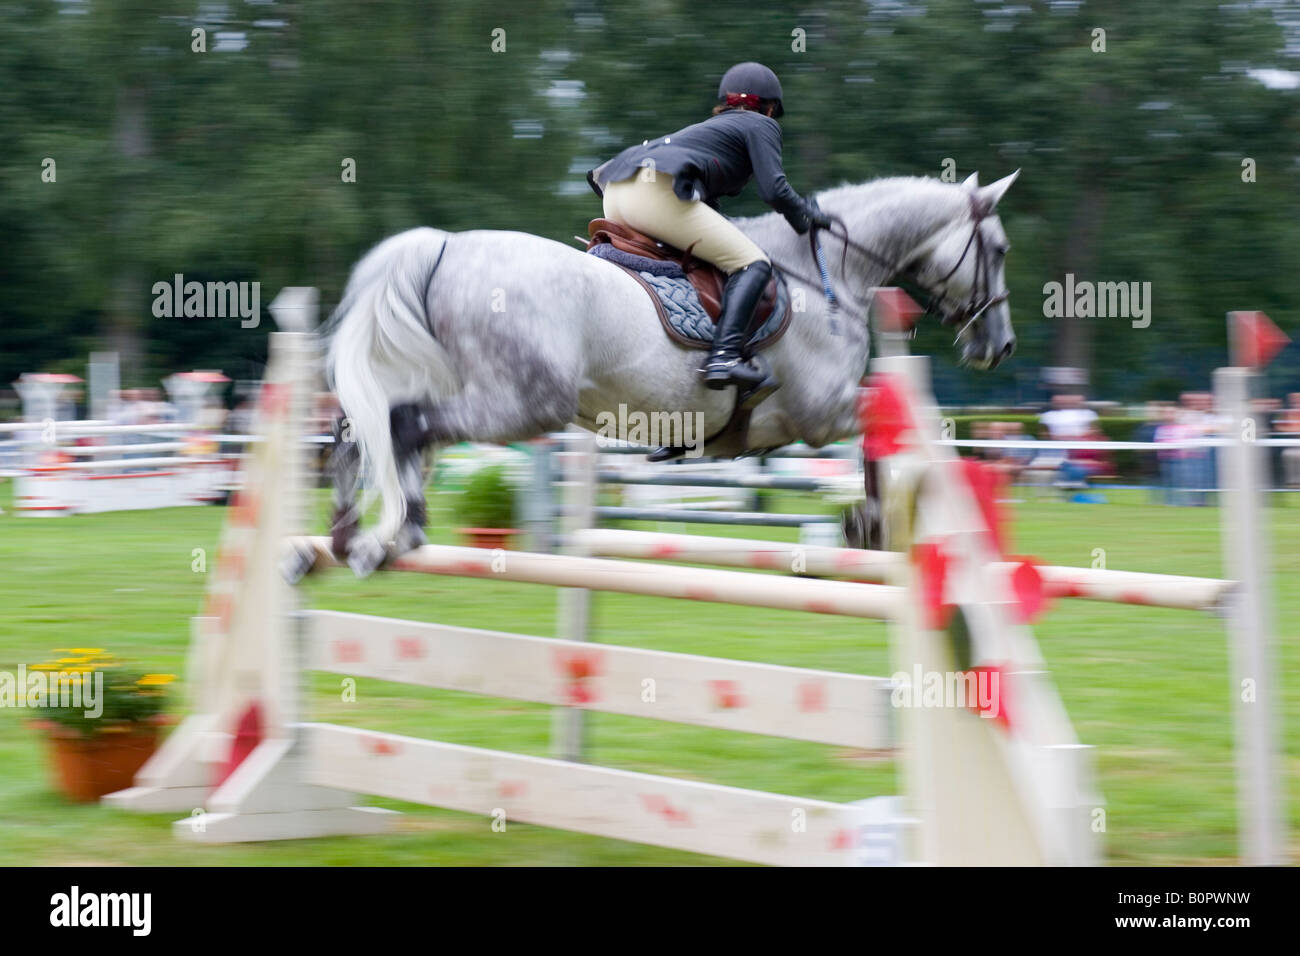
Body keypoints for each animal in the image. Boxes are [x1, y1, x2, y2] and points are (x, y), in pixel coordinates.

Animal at [324, 170, 1020, 575]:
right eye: (1000, 249)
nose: (1002, 346)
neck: (829, 275)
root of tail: (444, 245)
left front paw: (870, 521)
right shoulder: (821, 413)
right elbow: (881, 421)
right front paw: (868, 522)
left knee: (361, 432)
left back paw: (346, 537)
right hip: (521, 402)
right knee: (405, 427)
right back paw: (397, 532)